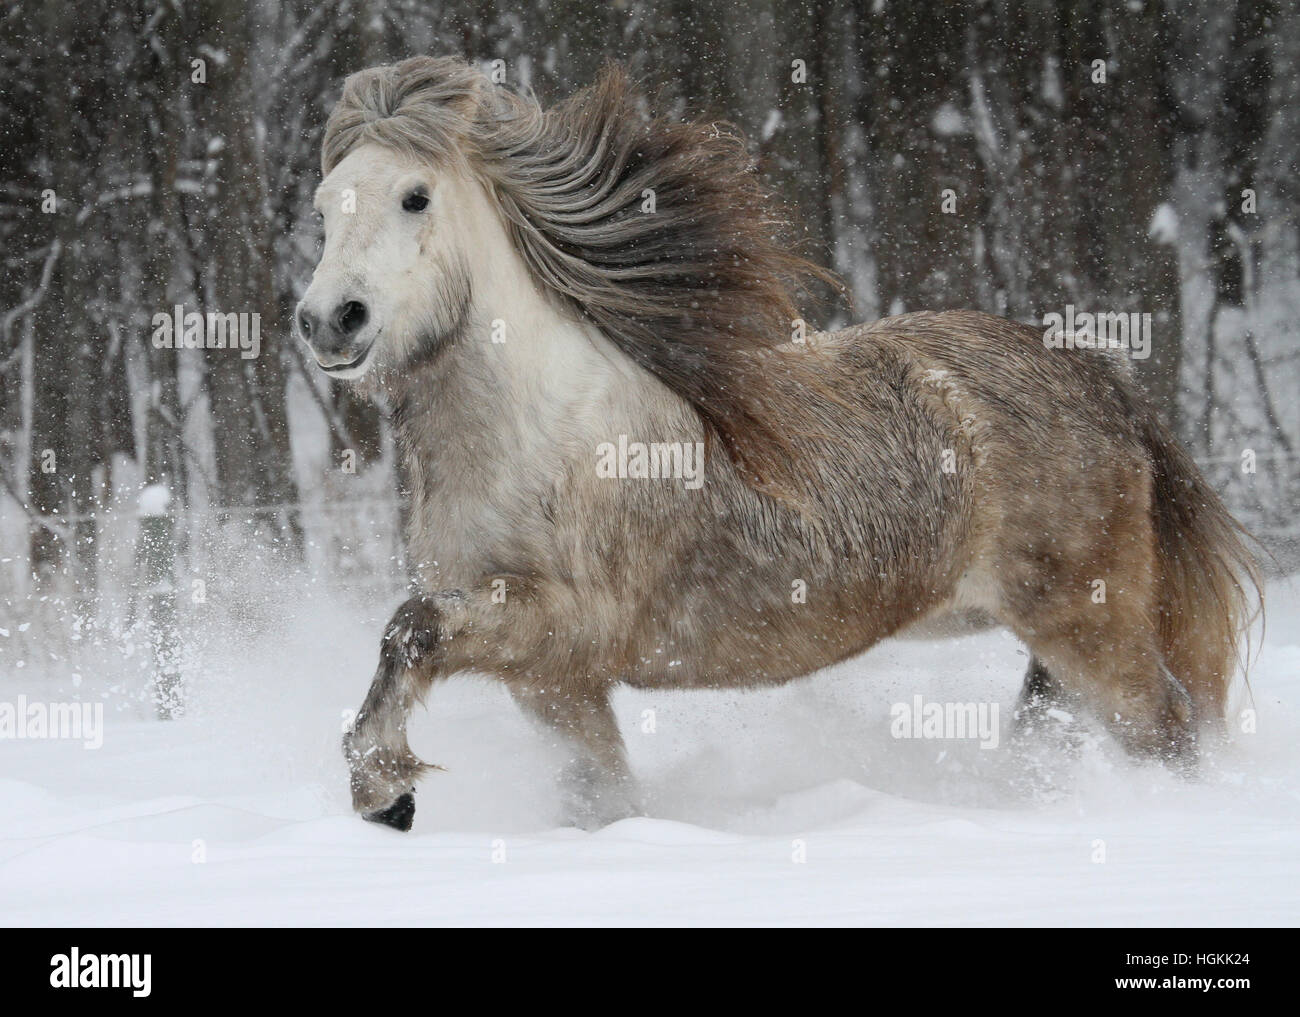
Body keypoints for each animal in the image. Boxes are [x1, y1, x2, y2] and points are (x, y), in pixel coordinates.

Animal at [295, 56, 1259, 831]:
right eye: (322, 208)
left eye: (415, 196)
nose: (328, 320)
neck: (536, 433)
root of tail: (1096, 374)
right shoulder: (556, 686)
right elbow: (602, 795)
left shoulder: (566, 630)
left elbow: (410, 628)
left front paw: (382, 791)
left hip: (1088, 623)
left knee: (1167, 730)